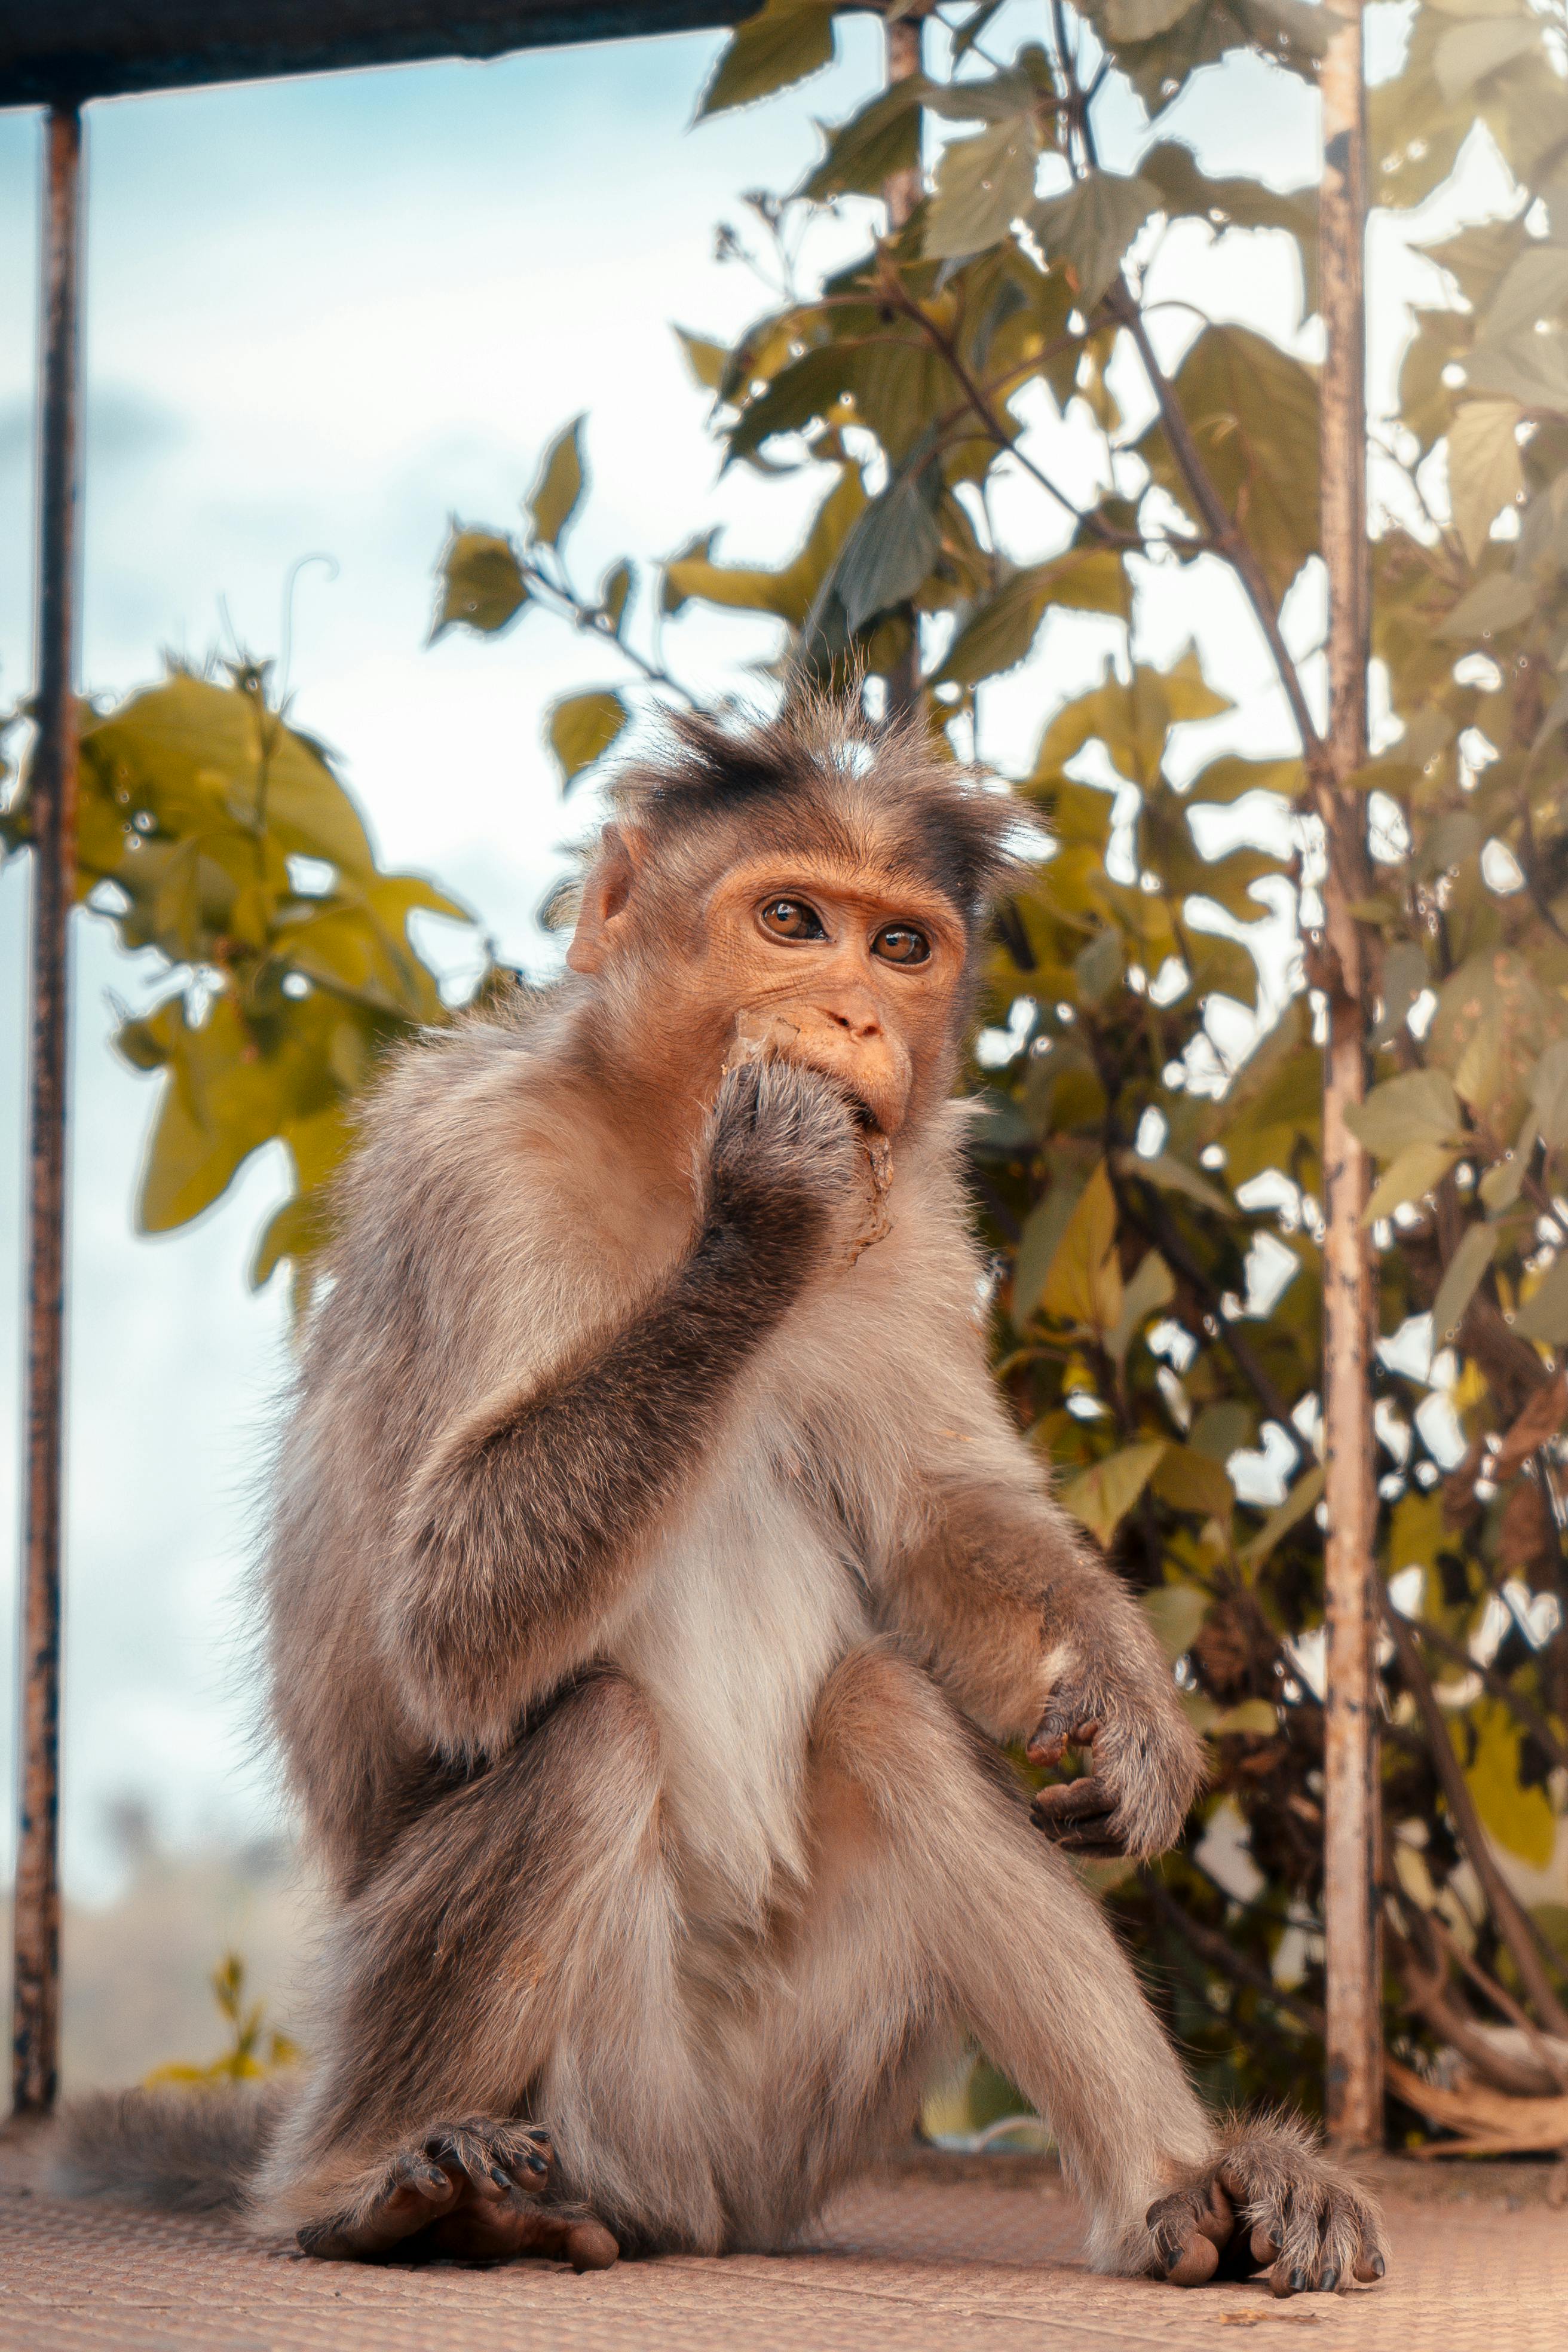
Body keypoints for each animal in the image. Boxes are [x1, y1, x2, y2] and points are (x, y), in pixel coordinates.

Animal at [64, 698, 1386, 2299]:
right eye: (789, 921)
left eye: (898, 946)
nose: (852, 1021)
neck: (660, 1155)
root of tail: (695, 2202)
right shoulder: (472, 1179)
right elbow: (444, 1623)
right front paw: (769, 1200)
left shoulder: (914, 1217)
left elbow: (936, 1511)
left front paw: (1127, 1701)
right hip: (607, 2107)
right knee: (591, 1739)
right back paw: (370, 2186)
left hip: (791, 2114)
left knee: (886, 1713)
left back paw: (1185, 2193)